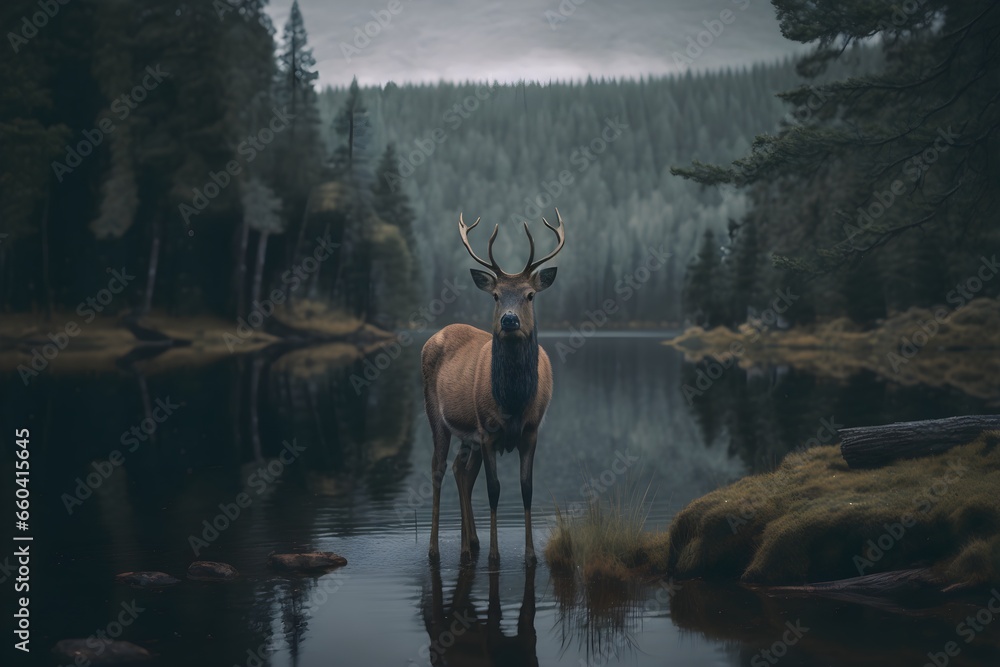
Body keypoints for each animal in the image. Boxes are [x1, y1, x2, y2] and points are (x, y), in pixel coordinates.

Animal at [422, 210, 565, 565]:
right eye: (496, 295)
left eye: (530, 294)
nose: (509, 320)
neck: (512, 400)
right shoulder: (487, 432)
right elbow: (494, 489)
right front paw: (495, 556)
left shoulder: (532, 430)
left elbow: (526, 489)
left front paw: (530, 556)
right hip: (436, 414)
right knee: (438, 469)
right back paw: (435, 550)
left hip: (468, 436)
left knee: (460, 470)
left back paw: (469, 544)